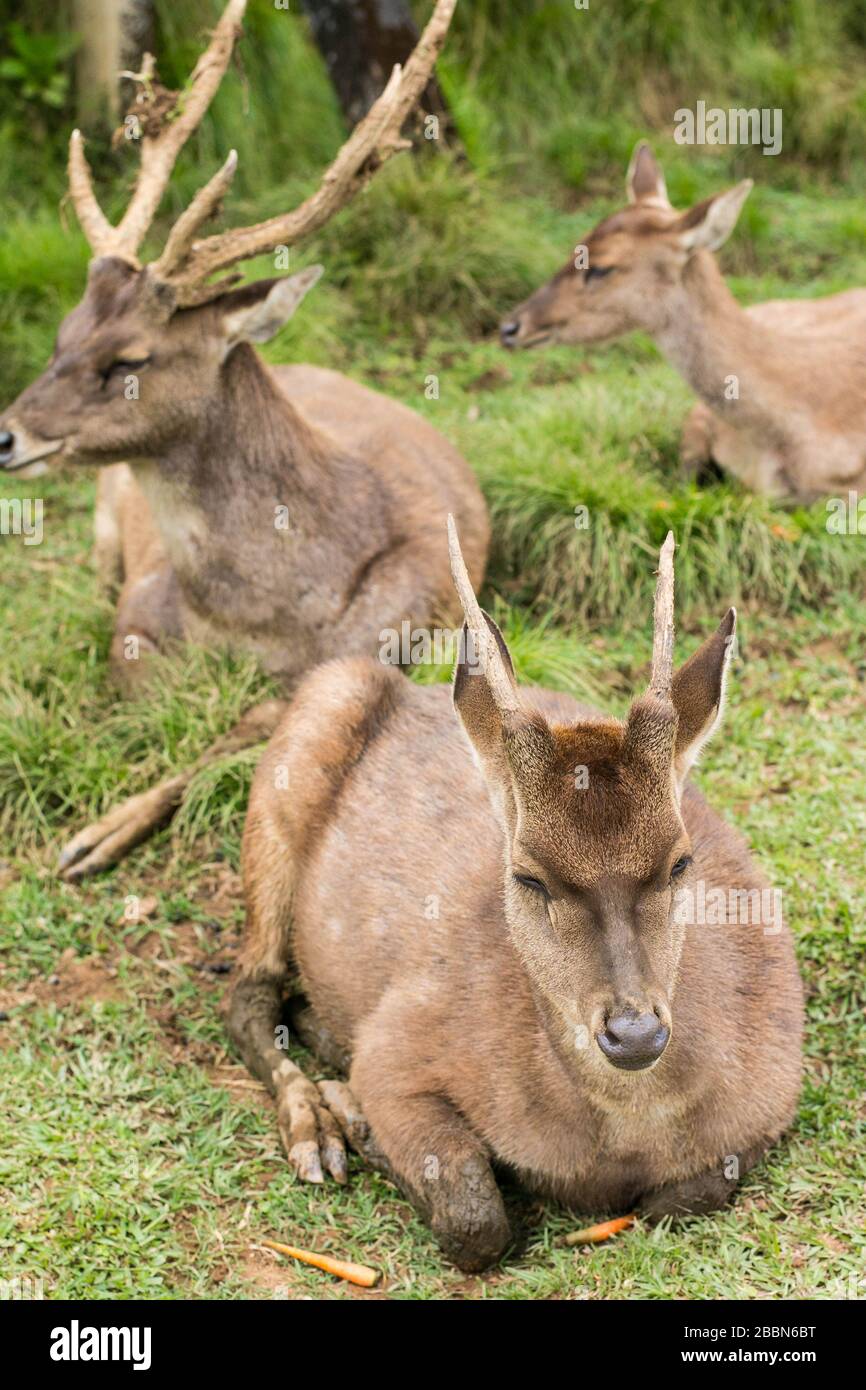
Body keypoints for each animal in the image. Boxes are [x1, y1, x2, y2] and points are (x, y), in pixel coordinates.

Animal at [0, 0, 489, 880]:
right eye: (61, 333)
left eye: (129, 360)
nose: (6, 436)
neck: (253, 615)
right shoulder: (139, 600)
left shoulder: (400, 626)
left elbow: (245, 724)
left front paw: (95, 836)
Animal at [228, 524, 803, 1272]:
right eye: (529, 876)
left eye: (681, 861)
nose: (634, 1032)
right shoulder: (399, 1042)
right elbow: (475, 1222)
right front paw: (355, 1114)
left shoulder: (777, 1087)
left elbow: (677, 1200)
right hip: (301, 746)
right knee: (247, 992)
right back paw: (315, 1128)